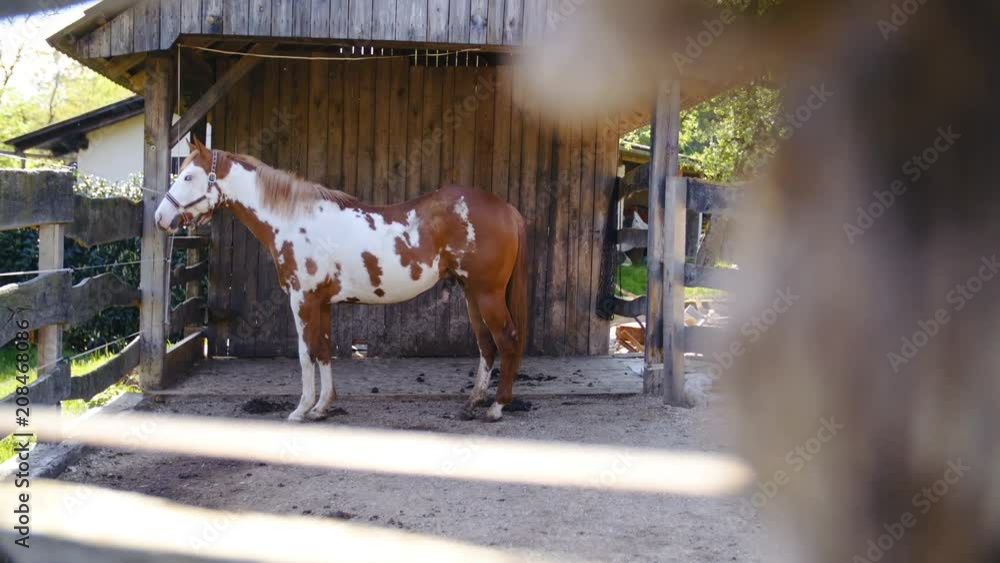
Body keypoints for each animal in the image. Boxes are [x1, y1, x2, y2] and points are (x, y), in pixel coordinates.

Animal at [154, 137, 528, 423]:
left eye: (187, 177)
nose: (160, 217)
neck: (296, 221)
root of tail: (508, 209)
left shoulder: (302, 300)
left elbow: (305, 353)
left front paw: (301, 409)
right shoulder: (322, 303)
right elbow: (323, 351)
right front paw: (322, 407)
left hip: (488, 294)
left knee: (507, 340)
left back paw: (497, 406)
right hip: (471, 293)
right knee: (486, 343)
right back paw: (474, 401)